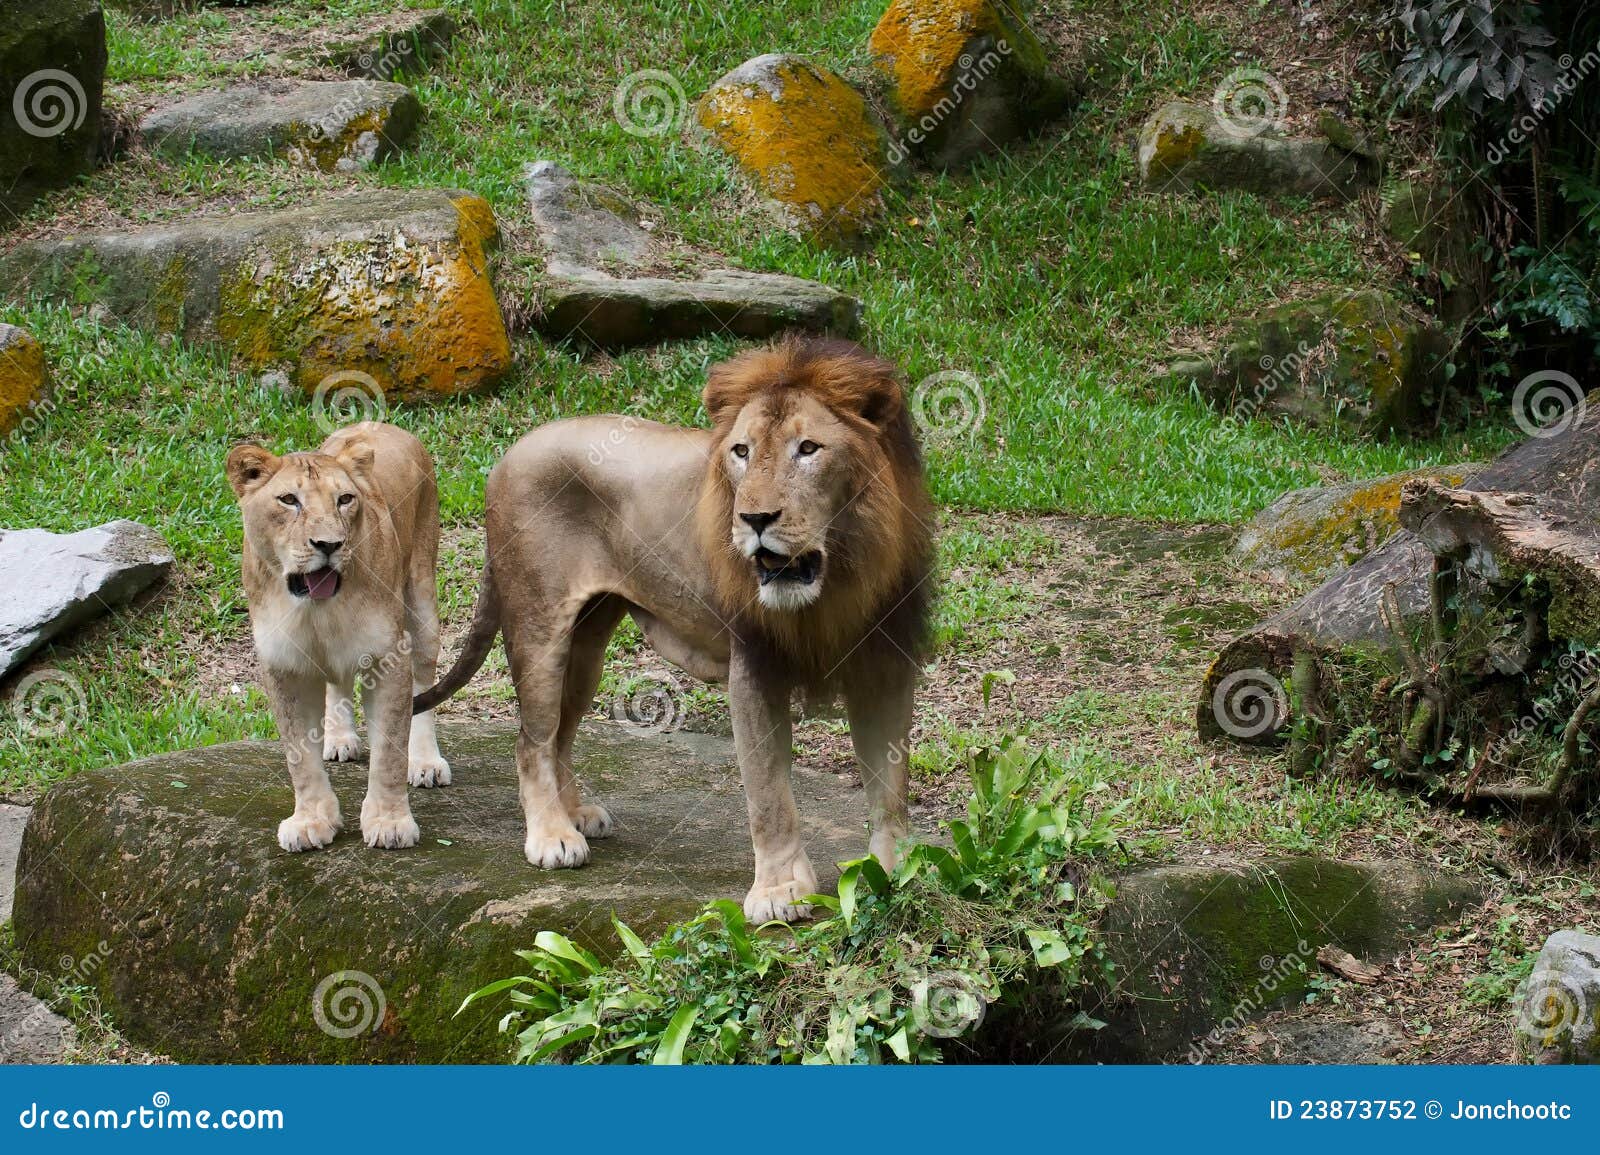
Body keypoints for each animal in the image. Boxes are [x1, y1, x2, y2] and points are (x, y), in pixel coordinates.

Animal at [226, 421, 451, 854]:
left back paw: (425, 762)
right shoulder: (284, 666)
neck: (317, 610)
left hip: (422, 601)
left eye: (345, 499)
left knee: (424, 681)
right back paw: (340, 737)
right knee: (337, 681)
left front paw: (390, 822)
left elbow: (389, 751)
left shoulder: (388, 656)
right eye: (289, 500)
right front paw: (311, 821)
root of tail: (380, 422)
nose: (329, 545)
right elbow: (299, 755)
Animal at [415, 338, 935, 922]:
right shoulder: (754, 665)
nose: (754, 519)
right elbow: (769, 793)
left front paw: (897, 876)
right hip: (539, 625)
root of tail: (508, 455)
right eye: (741, 451)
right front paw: (779, 891)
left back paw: (577, 814)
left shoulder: (886, 664)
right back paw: (553, 836)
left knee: (559, 737)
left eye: (808, 449)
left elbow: (890, 784)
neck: (839, 577)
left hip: (587, 645)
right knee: (531, 740)